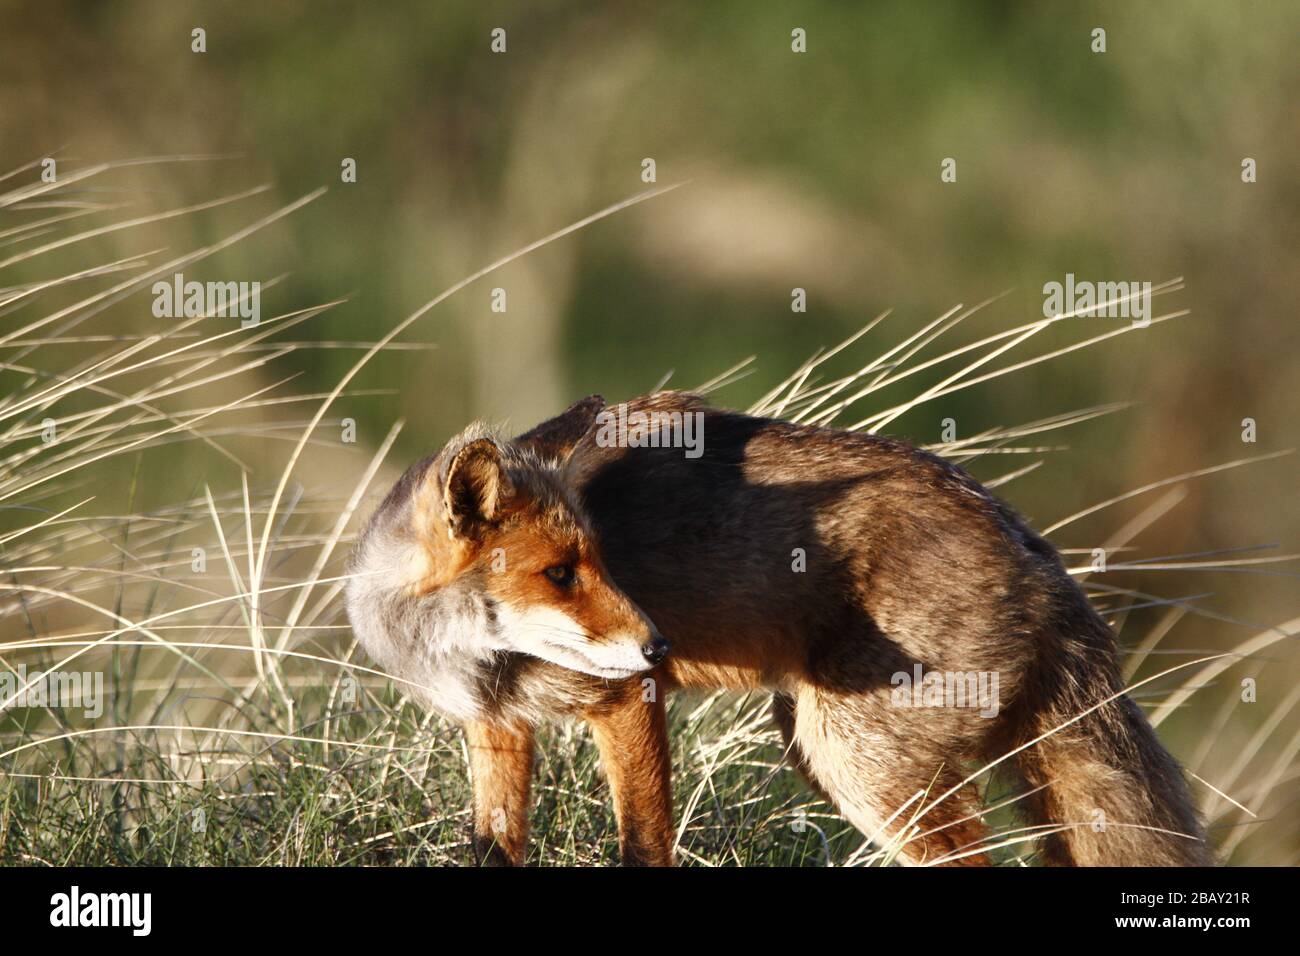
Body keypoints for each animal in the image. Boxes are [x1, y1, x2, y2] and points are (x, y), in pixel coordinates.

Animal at [345, 391, 1212, 867]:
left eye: (600, 560)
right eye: (560, 573)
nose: (658, 645)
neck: (477, 661)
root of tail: (1035, 548)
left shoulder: (626, 703)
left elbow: (643, 847)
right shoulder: (496, 730)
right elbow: (494, 849)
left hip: (853, 759)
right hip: (828, 747)